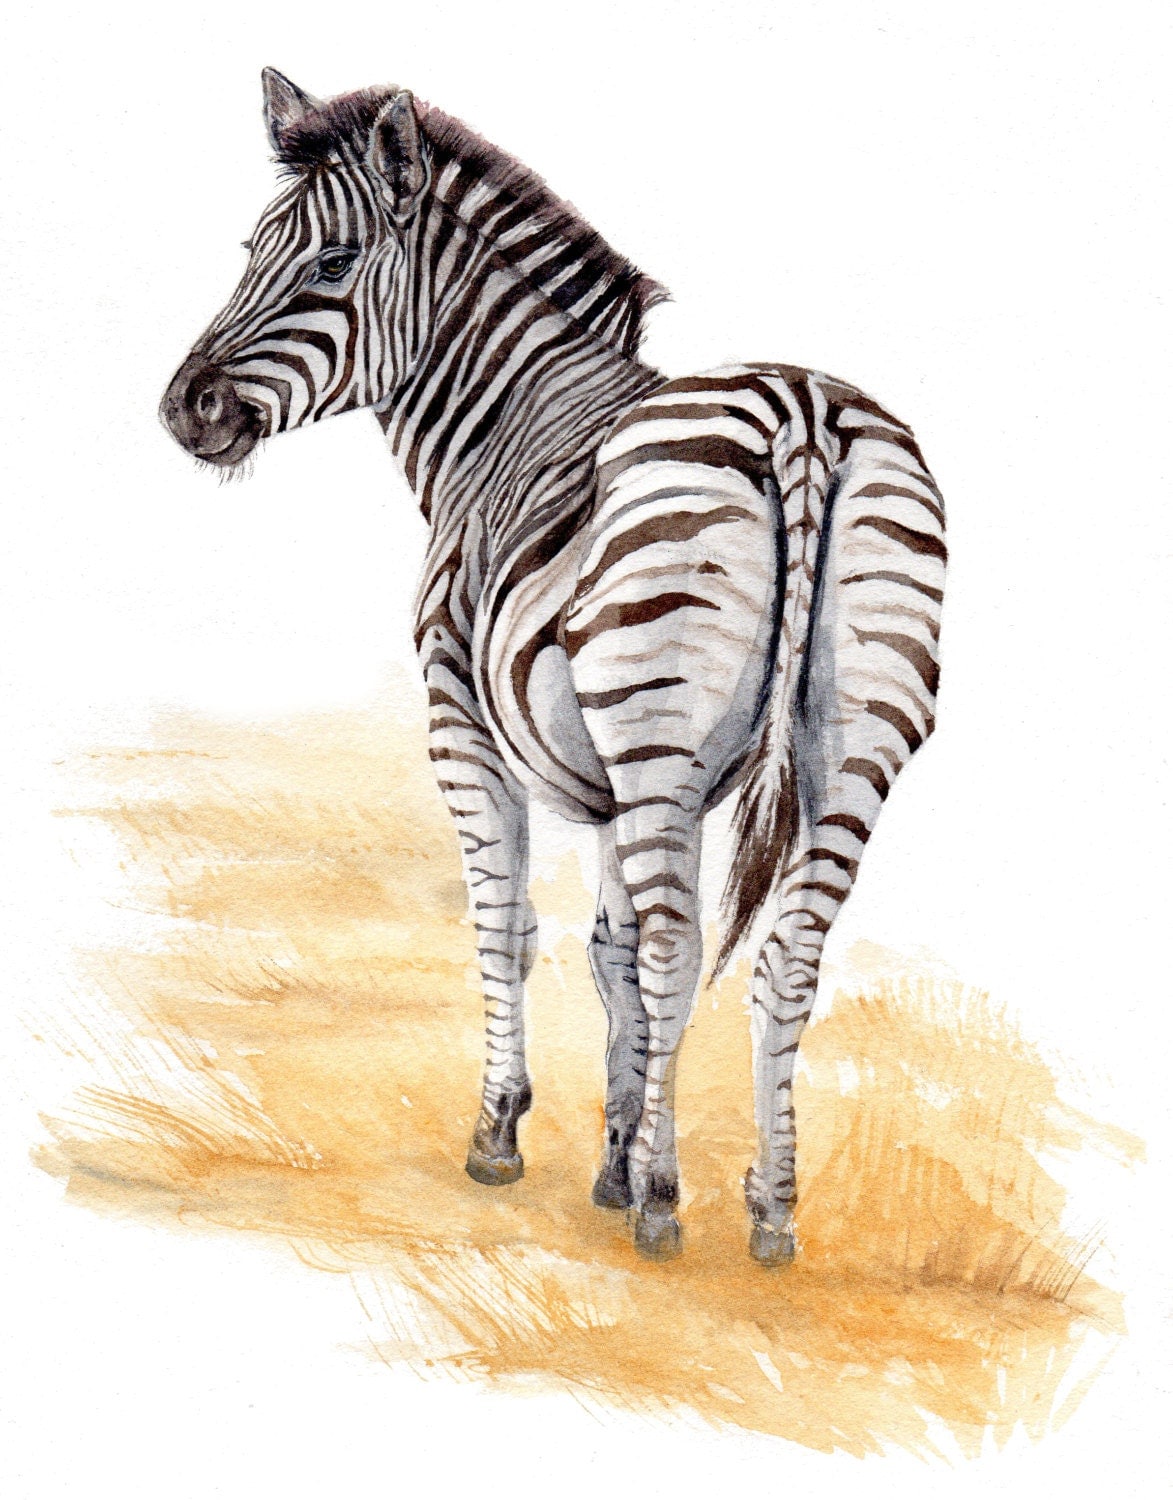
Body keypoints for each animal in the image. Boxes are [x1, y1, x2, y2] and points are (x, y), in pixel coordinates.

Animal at [161, 71, 945, 1265]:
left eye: (332, 264)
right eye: (252, 248)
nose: (182, 409)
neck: (499, 423)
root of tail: (803, 411)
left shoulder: (467, 721)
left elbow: (511, 928)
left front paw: (508, 1138)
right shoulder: (623, 780)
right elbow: (608, 957)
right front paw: (612, 1163)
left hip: (664, 716)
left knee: (680, 948)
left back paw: (672, 1203)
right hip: (851, 741)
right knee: (785, 957)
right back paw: (770, 1209)